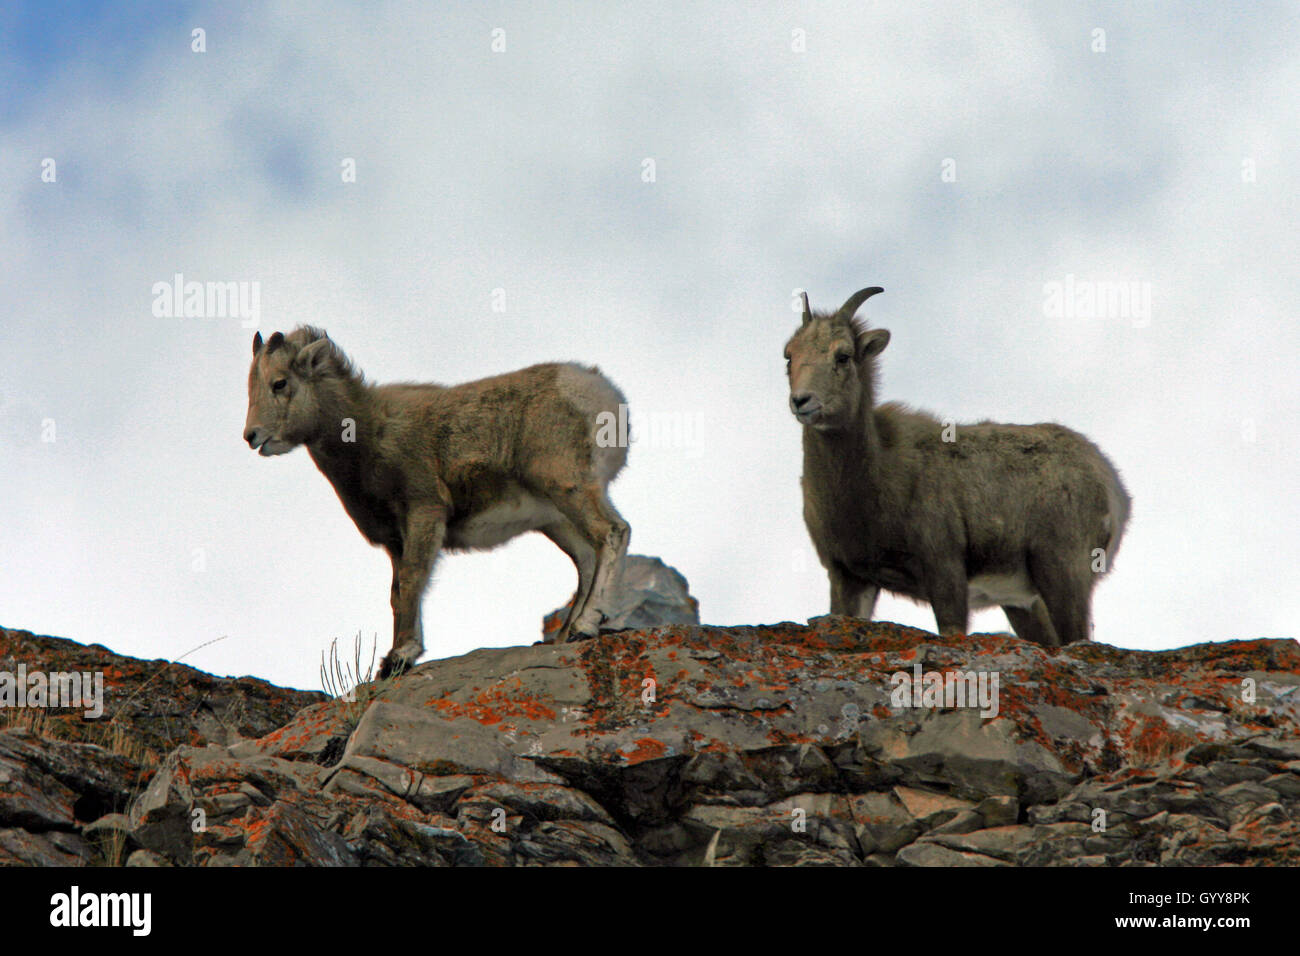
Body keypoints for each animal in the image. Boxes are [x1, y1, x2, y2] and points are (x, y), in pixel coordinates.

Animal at [243, 326, 630, 677]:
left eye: (279, 383)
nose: (252, 436)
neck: (368, 433)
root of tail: (604, 395)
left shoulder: (423, 512)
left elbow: (414, 579)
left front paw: (401, 656)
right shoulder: (395, 539)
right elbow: (397, 591)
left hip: (570, 488)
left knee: (613, 532)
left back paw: (584, 627)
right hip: (557, 519)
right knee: (586, 559)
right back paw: (565, 636)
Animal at [785, 287, 1130, 647]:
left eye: (843, 356)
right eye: (789, 356)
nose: (802, 401)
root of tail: (1112, 485)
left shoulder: (944, 569)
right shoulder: (849, 577)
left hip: (1063, 573)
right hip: (1024, 602)